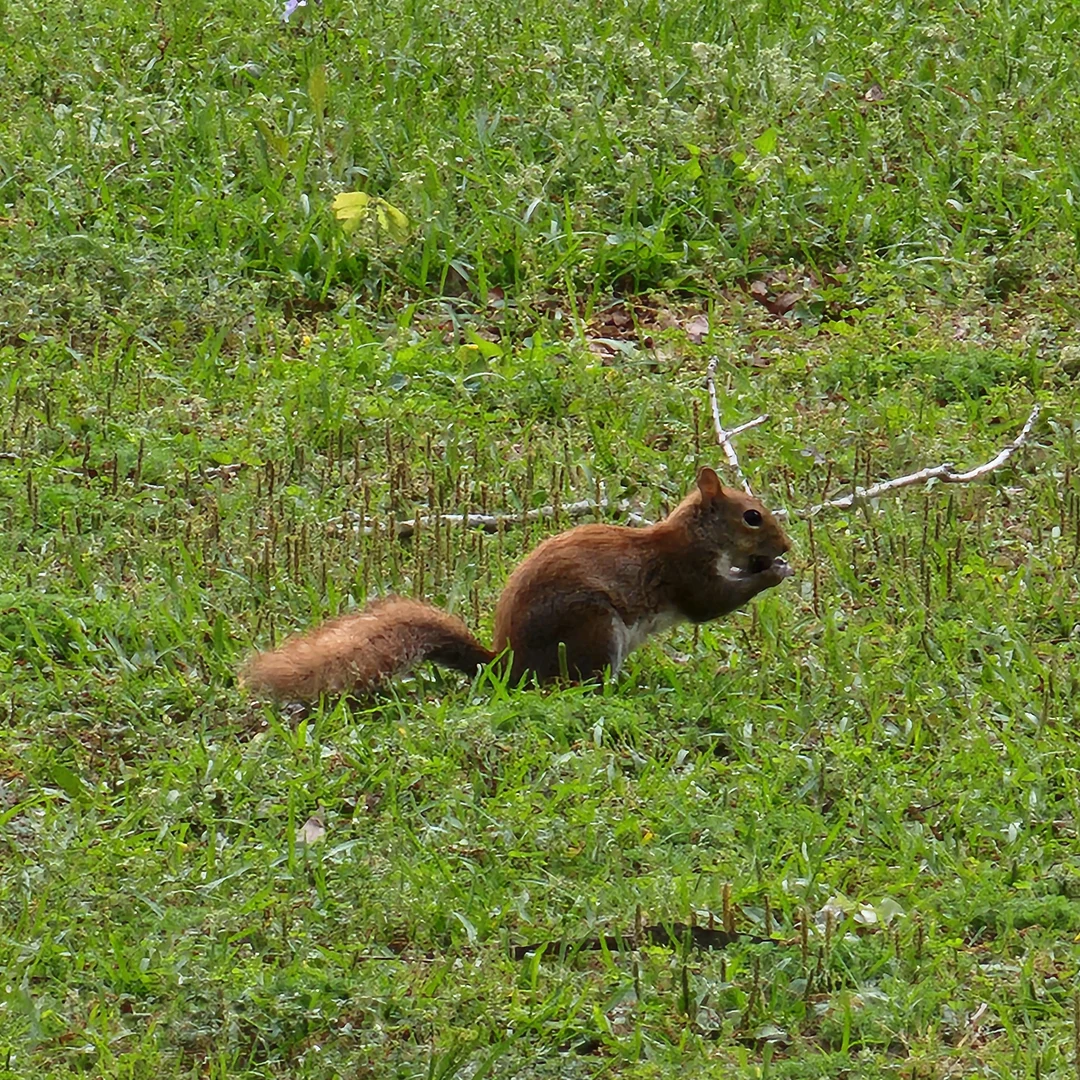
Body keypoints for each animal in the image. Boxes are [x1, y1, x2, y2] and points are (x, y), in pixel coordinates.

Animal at [241, 466, 793, 699]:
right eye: (751, 516)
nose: (786, 547)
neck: (690, 534)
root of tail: (508, 667)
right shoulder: (685, 571)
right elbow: (711, 603)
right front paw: (771, 575)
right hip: (594, 628)